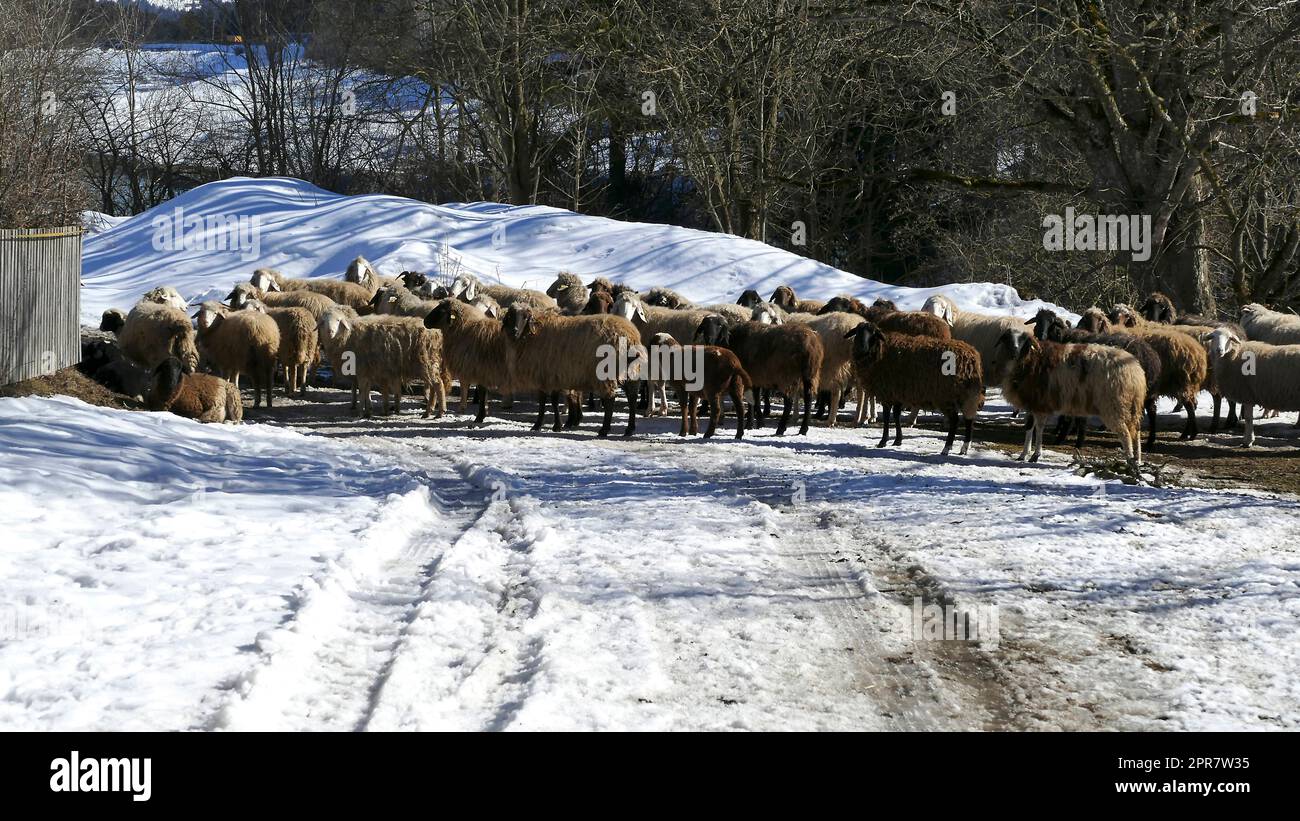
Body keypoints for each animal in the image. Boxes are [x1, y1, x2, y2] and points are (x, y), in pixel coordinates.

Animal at [842, 320, 982, 454]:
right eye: (858, 331)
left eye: (873, 333)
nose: (861, 346)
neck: (880, 351)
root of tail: (970, 359)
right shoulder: (898, 392)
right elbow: (896, 414)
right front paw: (898, 440)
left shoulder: (887, 391)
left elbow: (887, 416)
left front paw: (883, 441)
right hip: (967, 394)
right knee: (969, 419)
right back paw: (964, 448)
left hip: (947, 394)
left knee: (955, 420)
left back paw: (947, 448)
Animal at [987, 327, 1144, 467]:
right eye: (1008, 338)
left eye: (1024, 339)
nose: (1014, 350)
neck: (1030, 358)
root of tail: (1135, 371)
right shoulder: (1032, 402)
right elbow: (1029, 428)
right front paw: (1023, 454)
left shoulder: (1040, 403)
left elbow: (1039, 428)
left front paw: (1036, 455)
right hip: (1131, 405)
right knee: (1136, 431)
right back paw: (1137, 460)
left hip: (1114, 405)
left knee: (1125, 434)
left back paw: (1130, 460)